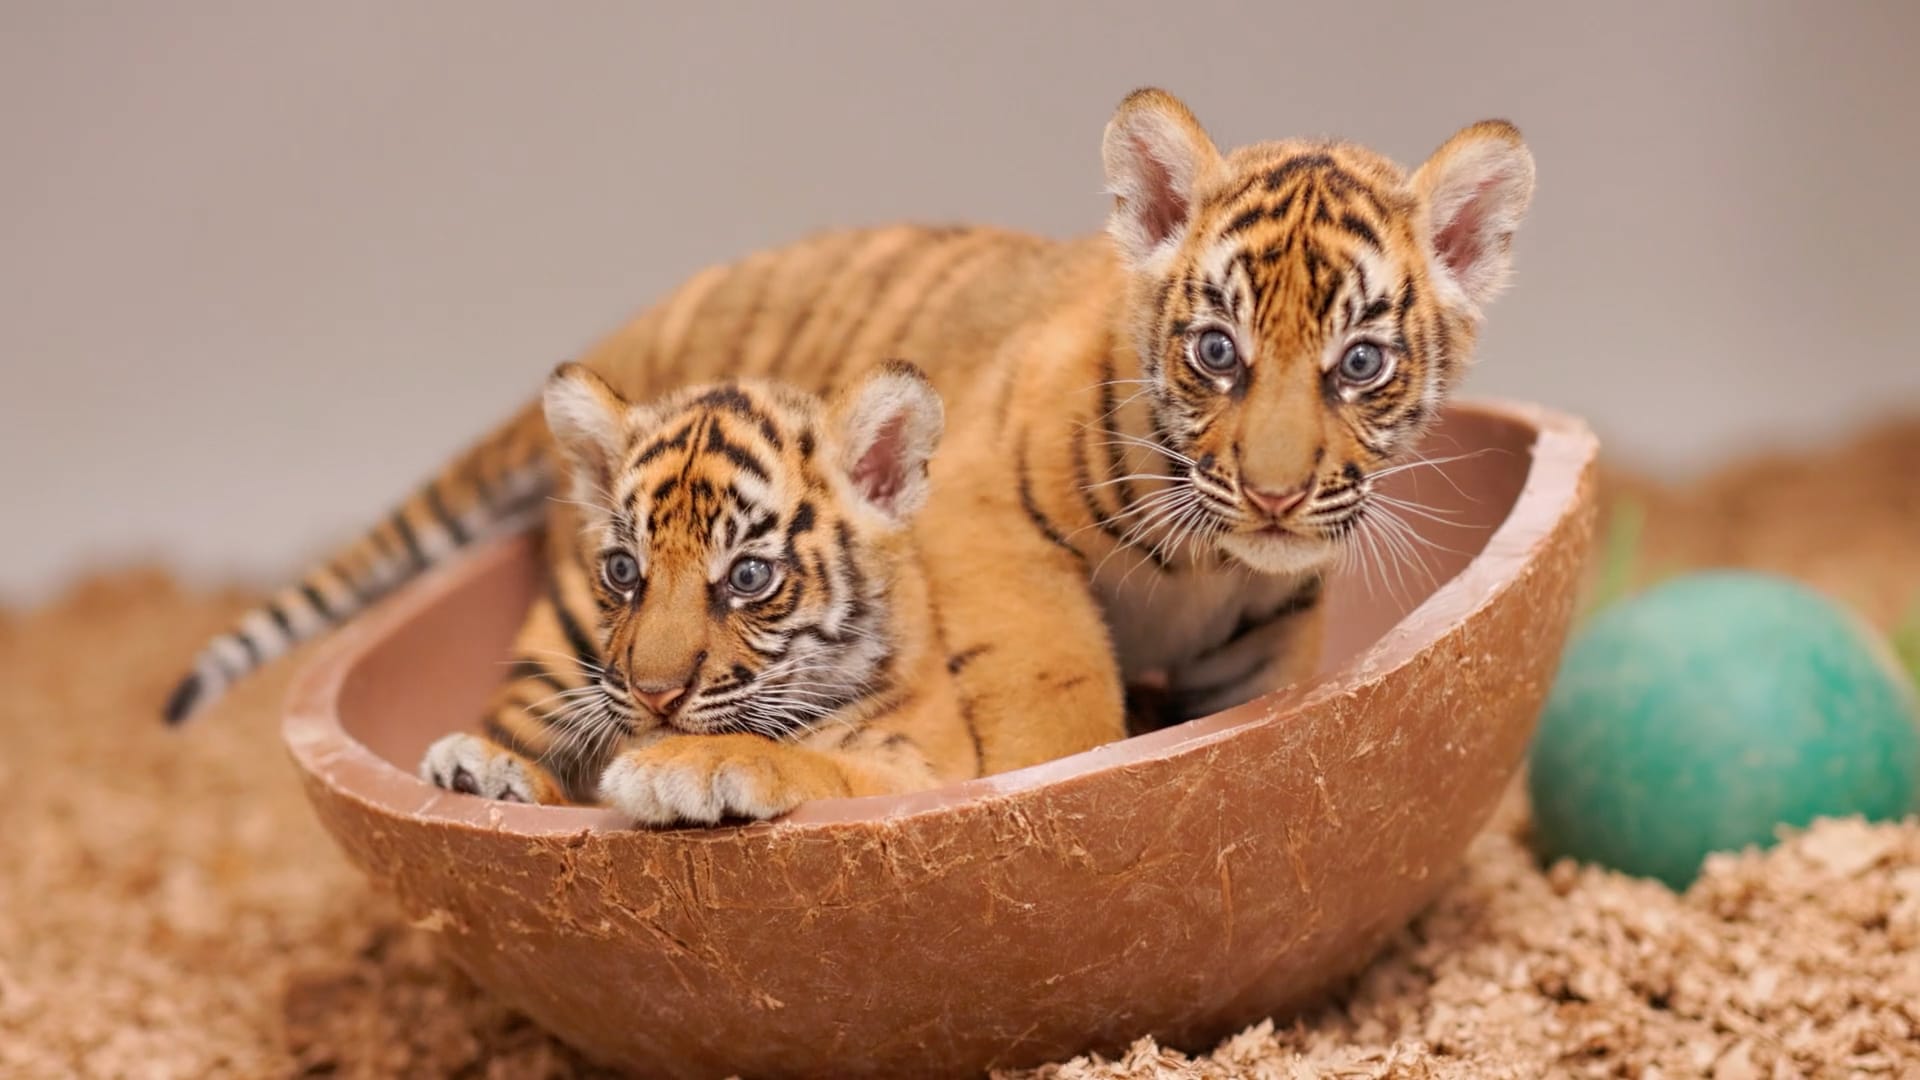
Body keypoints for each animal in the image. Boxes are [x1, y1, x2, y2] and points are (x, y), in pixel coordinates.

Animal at [417, 360, 976, 823]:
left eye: (748, 576)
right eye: (623, 569)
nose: (654, 694)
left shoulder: (923, 771)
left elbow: (824, 767)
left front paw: (688, 765)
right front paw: (493, 773)